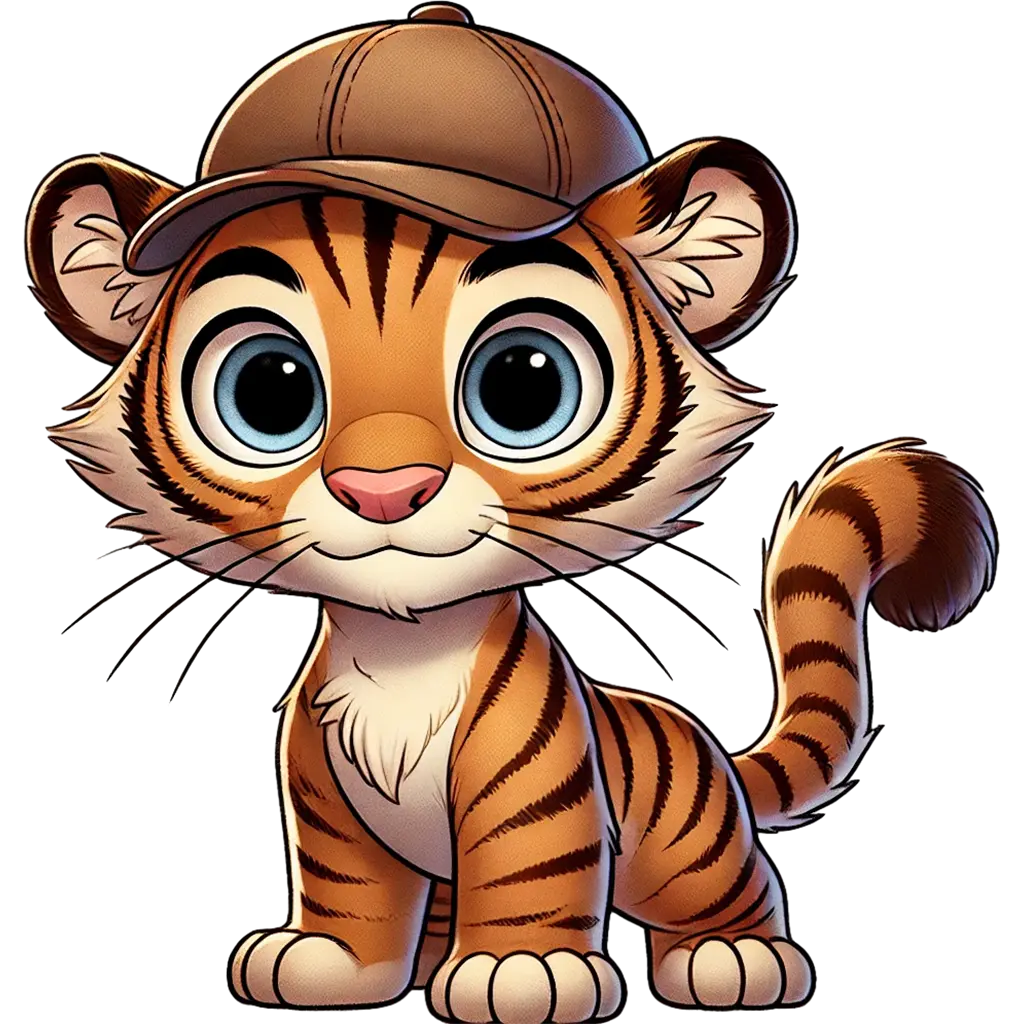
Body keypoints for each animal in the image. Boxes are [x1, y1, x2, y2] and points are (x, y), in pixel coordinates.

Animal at [27, 132, 994, 1023]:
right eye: (271, 388)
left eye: (523, 384)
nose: (385, 489)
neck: (400, 651)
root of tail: (706, 740)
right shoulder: (327, 802)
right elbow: (351, 891)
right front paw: (333, 963)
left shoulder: (534, 796)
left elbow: (528, 876)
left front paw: (522, 973)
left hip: (691, 851)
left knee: (737, 888)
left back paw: (735, 959)